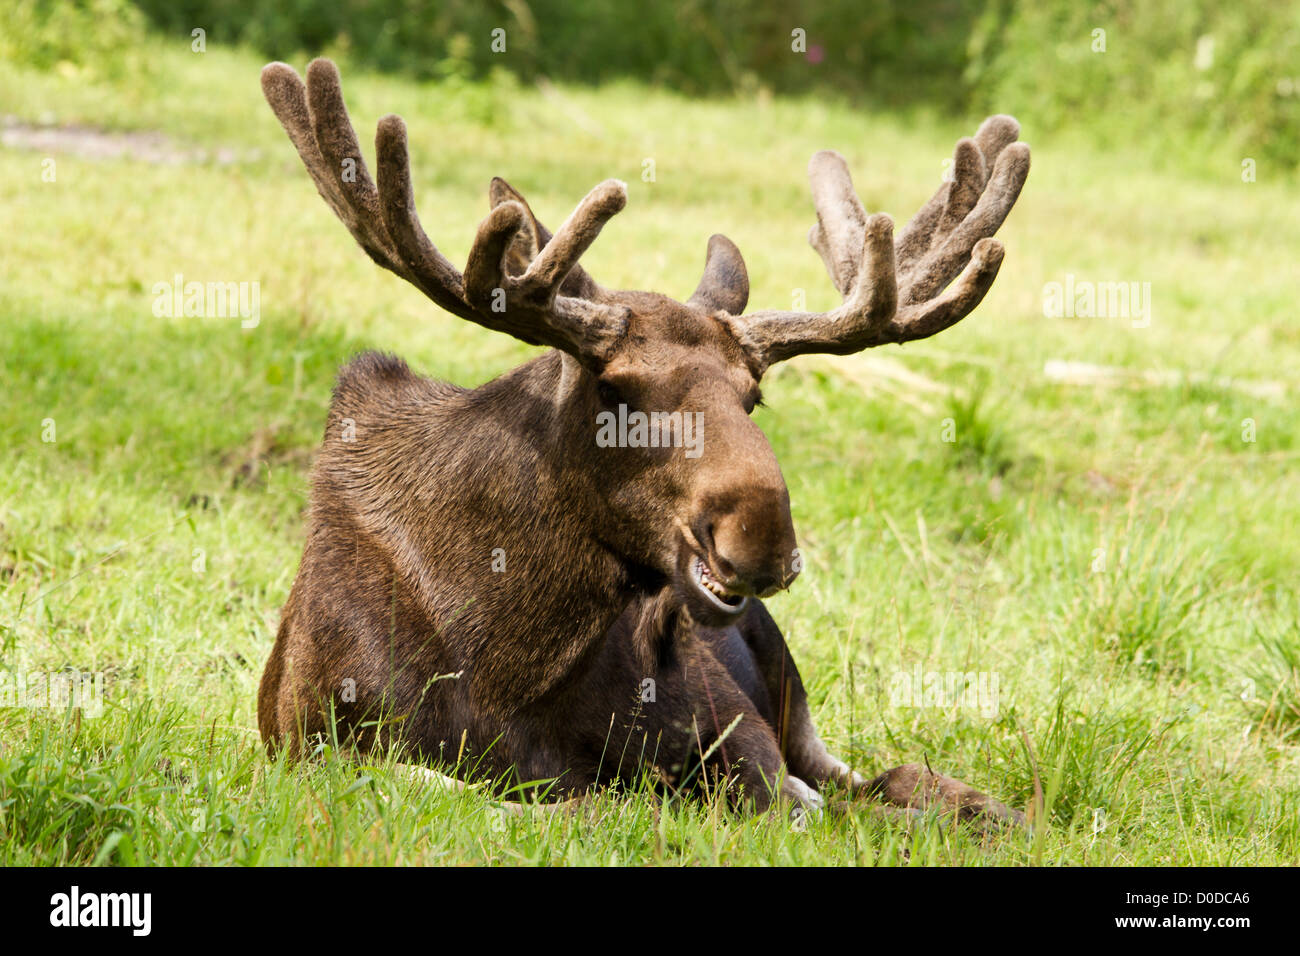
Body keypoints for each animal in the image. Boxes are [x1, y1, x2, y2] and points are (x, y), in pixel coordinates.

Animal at [256, 59, 1031, 826]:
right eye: (614, 390)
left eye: (752, 396)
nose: (762, 538)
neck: (510, 668)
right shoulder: (310, 745)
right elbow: (501, 795)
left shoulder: (740, 735)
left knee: (876, 779)